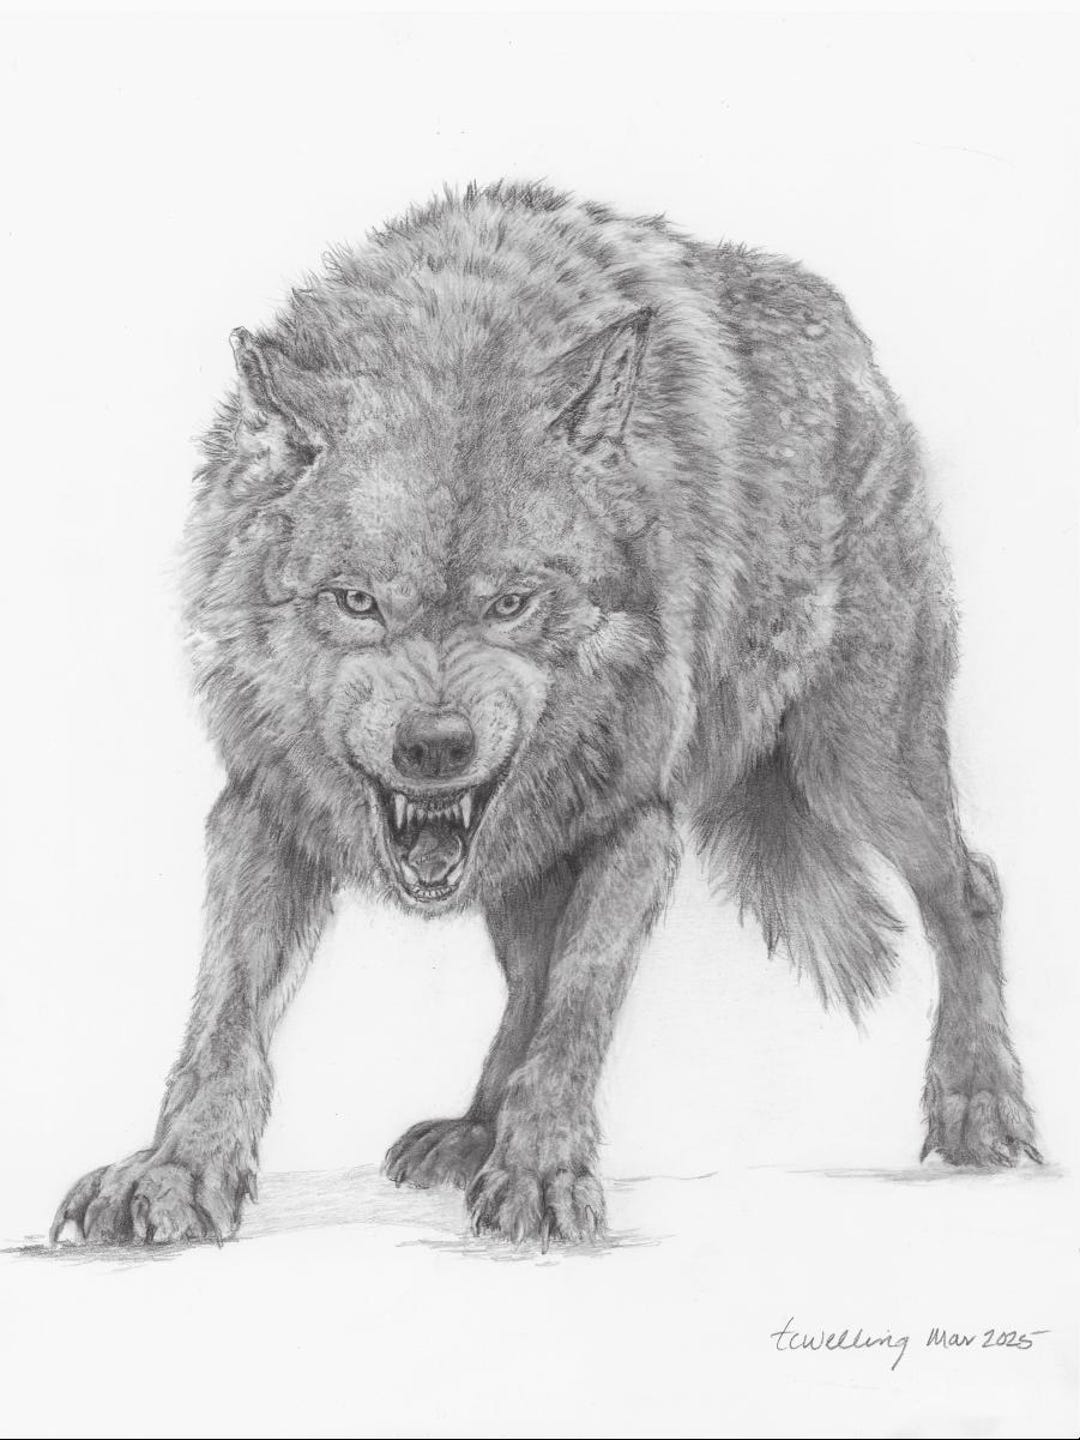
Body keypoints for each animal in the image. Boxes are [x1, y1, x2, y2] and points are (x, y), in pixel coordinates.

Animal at [51, 182, 1040, 1249]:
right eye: (357, 602)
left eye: (511, 603)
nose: (434, 747)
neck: (457, 338)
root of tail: (851, 346)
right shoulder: (263, 808)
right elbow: (224, 1020)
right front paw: (175, 1173)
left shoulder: (635, 825)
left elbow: (576, 1011)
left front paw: (540, 1175)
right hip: (539, 854)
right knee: (525, 979)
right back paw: (472, 1132)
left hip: (857, 767)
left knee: (971, 886)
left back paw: (981, 1107)